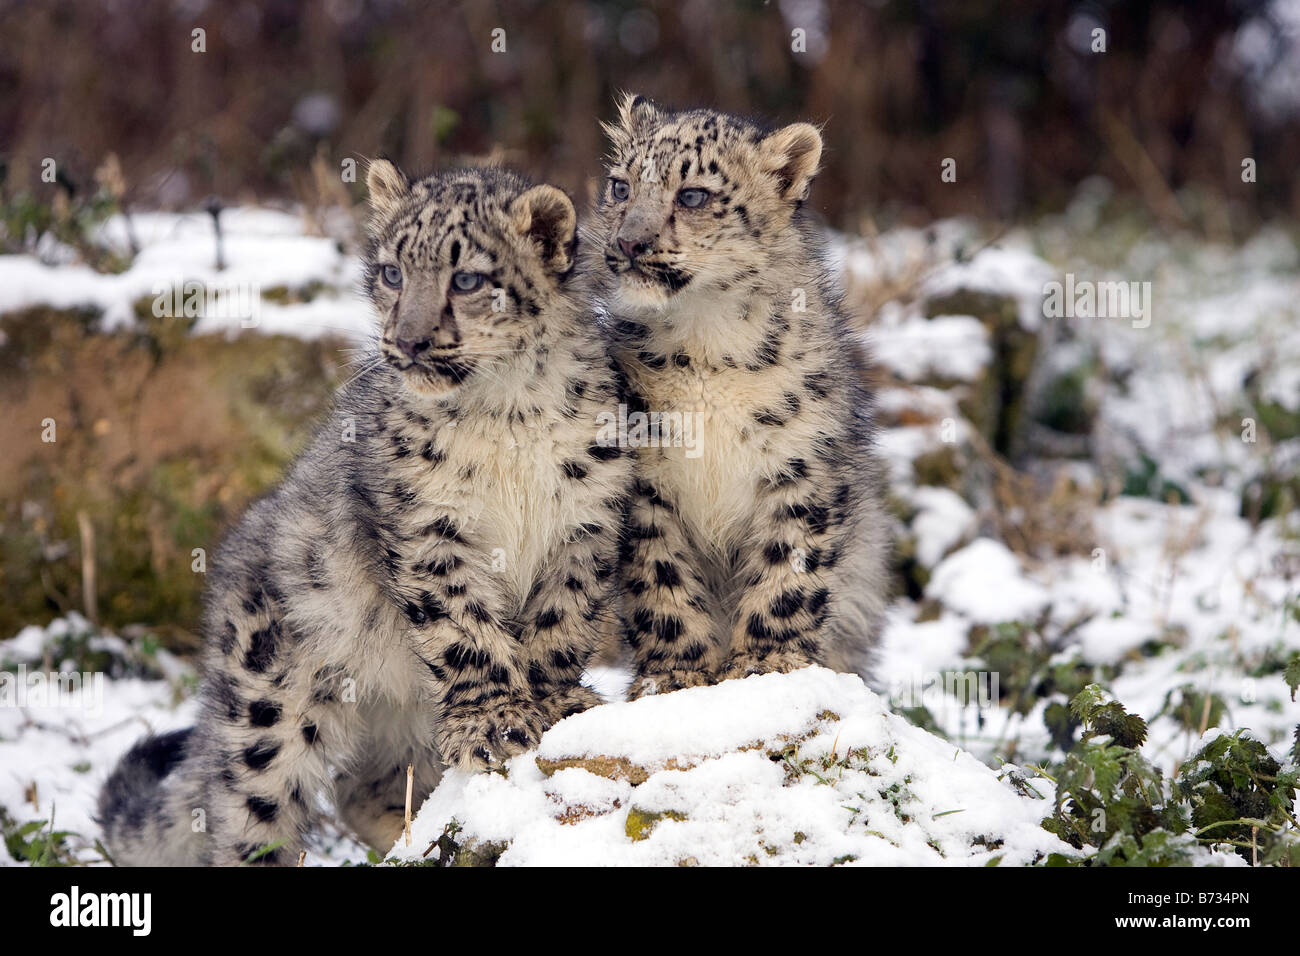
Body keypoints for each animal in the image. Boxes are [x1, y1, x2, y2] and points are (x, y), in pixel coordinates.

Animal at [98, 161, 631, 865]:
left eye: (467, 279)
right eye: (392, 272)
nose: (407, 340)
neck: (507, 411)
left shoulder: (586, 518)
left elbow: (562, 617)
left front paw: (555, 700)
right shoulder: (428, 527)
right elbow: (462, 625)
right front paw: (492, 721)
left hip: (395, 730)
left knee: (367, 788)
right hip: (269, 703)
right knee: (250, 809)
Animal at [587, 94, 891, 698]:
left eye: (693, 195)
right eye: (620, 187)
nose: (628, 243)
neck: (705, 343)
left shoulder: (802, 468)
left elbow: (787, 571)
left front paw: (765, 664)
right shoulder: (643, 485)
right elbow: (660, 578)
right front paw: (674, 676)